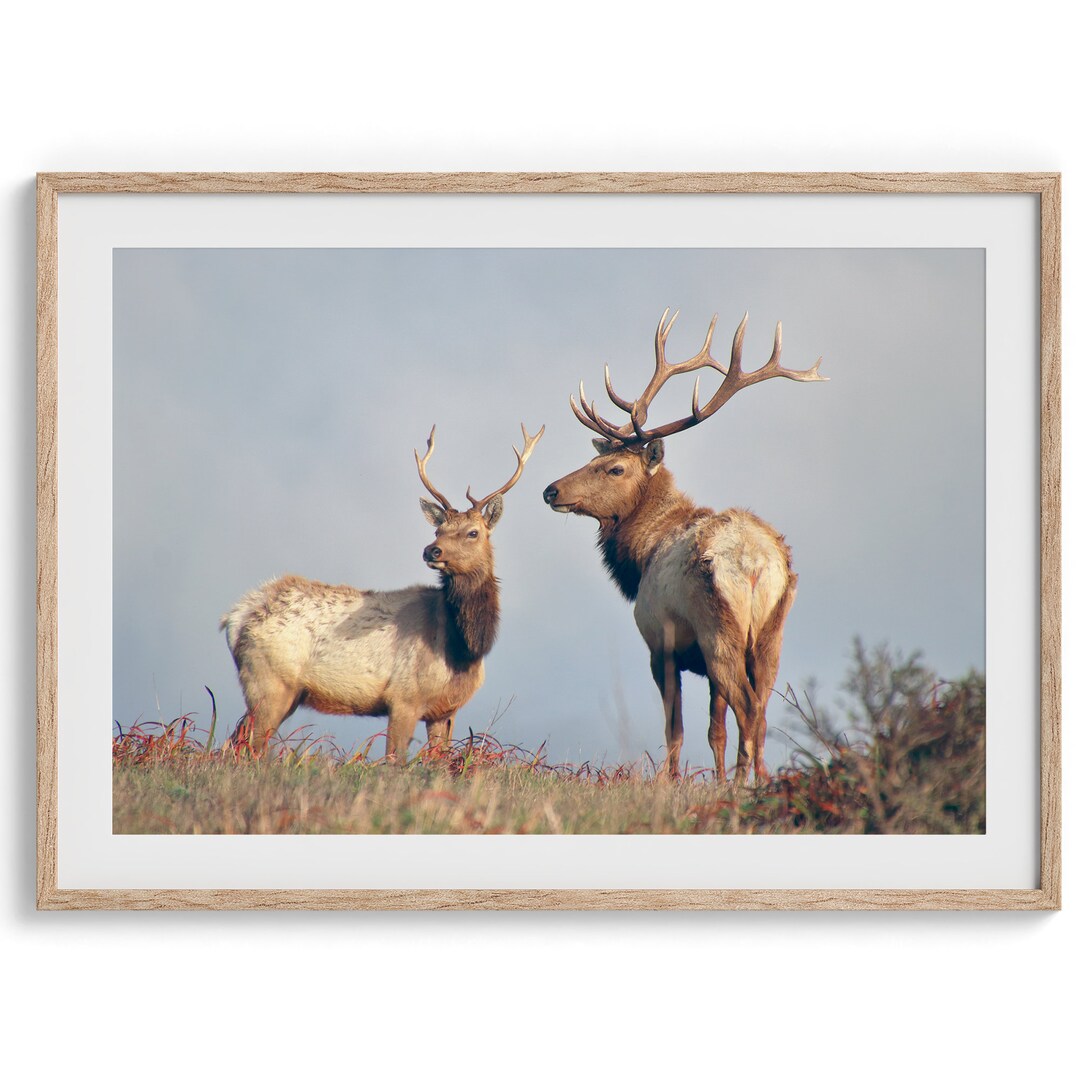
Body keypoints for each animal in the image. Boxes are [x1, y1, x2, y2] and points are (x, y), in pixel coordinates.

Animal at [221, 423, 544, 760]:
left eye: (473, 532)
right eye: (438, 530)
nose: (431, 550)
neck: (464, 651)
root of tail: (235, 617)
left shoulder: (446, 710)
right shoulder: (403, 696)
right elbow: (394, 760)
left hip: (281, 691)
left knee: (233, 742)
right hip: (269, 681)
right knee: (249, 747)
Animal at [543, 309, 826, 784]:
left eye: (615, 468)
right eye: (595, 459)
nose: (551, 490)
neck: (639, 556)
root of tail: (755, 564)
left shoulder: (661, 644)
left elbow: (675, 728)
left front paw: (670, 784)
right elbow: (715, 731)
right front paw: (716, 782)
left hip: (719, 631)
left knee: (748, 707)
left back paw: (745, 786)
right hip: (771, 635)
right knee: (761, 710)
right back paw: (758, 781)